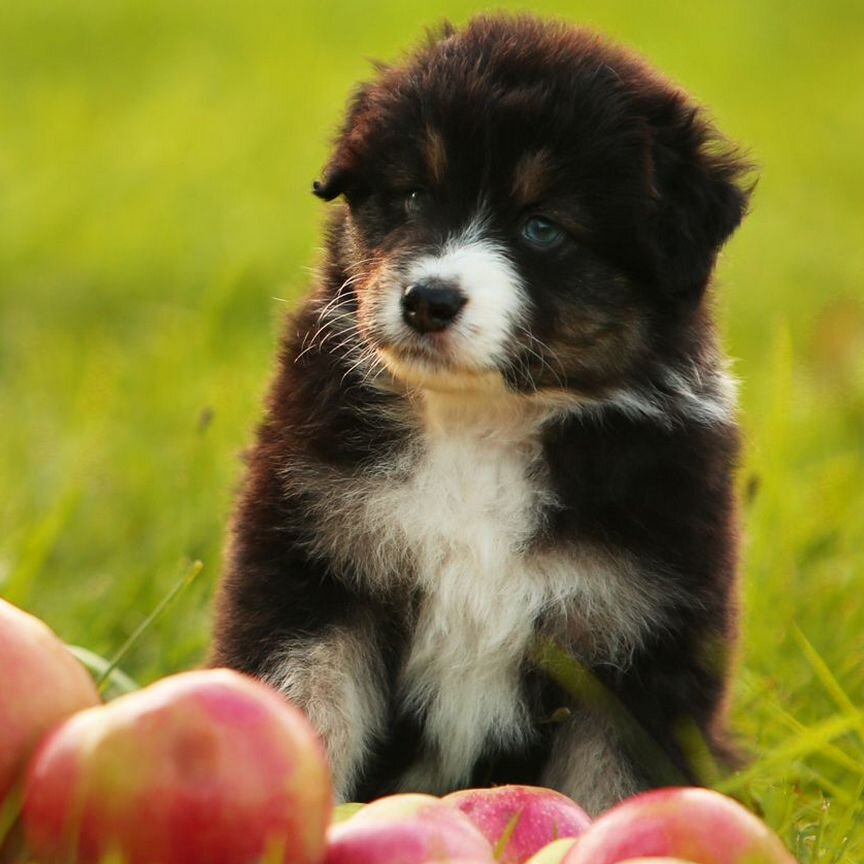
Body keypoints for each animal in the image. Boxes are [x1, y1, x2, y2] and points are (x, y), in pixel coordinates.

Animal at [213, 13, 752, 812]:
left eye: (542, 228)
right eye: (411, 195)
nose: (428, 301)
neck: (483, 421)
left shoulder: (637, 634)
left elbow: (608, 789)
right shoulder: (314, 564)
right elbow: (309, 705)